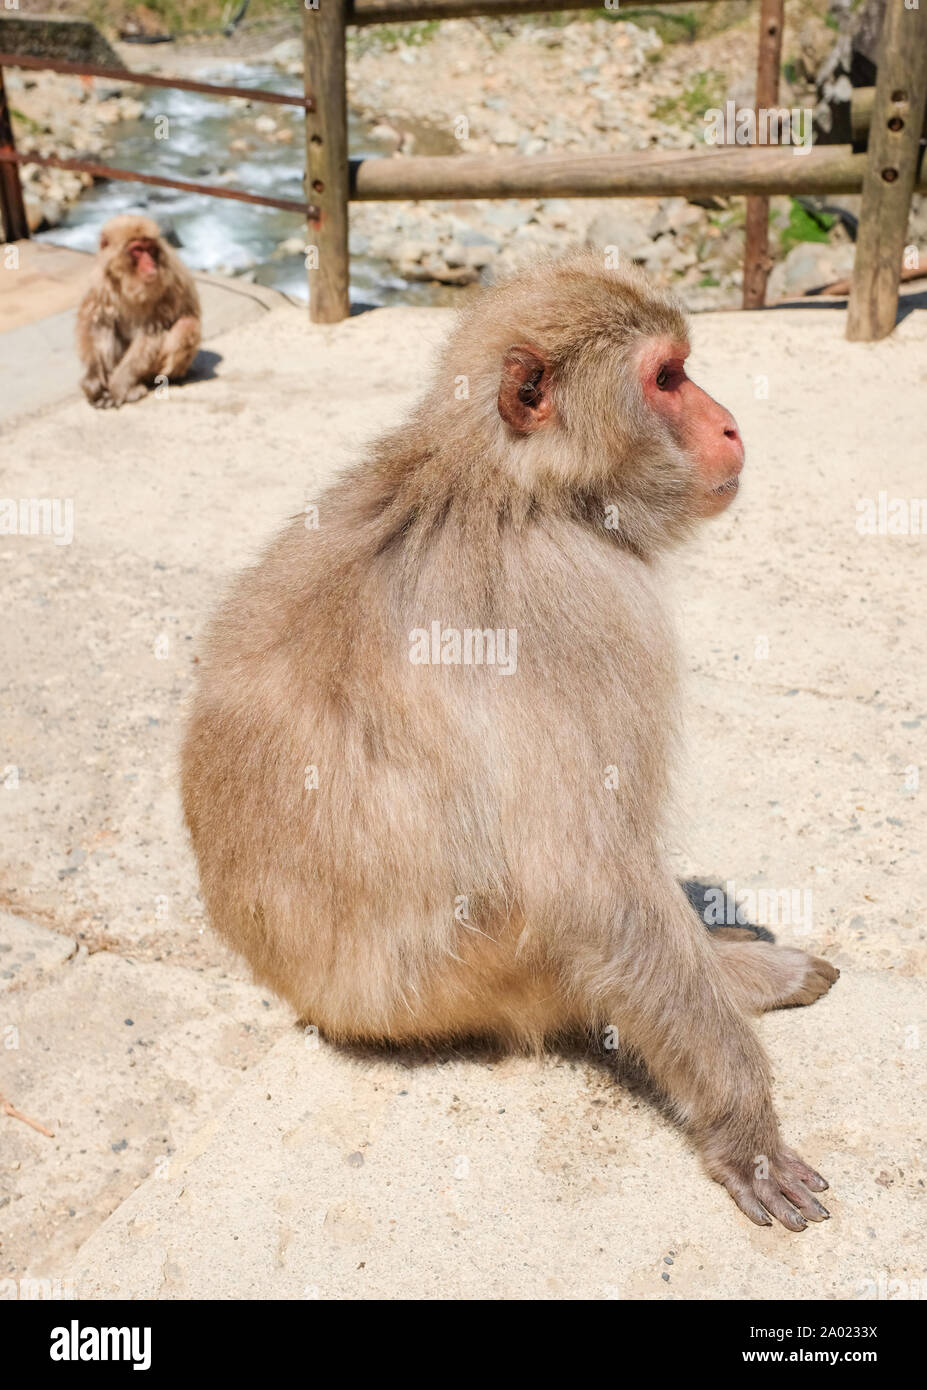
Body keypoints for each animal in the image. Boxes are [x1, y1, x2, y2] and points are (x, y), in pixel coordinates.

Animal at [76, 214, 201, 409]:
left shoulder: (167, 284)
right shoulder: (101, 277)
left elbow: (150, 334)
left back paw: (141, 386)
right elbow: (96, 322)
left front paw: (117, 387)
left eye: (150, 249)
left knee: (187, 325)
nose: (150, 263)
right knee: (107, 325)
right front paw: (92, 378)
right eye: (137, 250)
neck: (130, 283)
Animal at [181, 250, 839, 1231]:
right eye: (667, 379)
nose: (728, 424)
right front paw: (743, 1127)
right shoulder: (580, 601)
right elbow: (589, 886)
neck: (518, 485)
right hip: (462, 982)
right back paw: (739, 982)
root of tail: (295, 990)